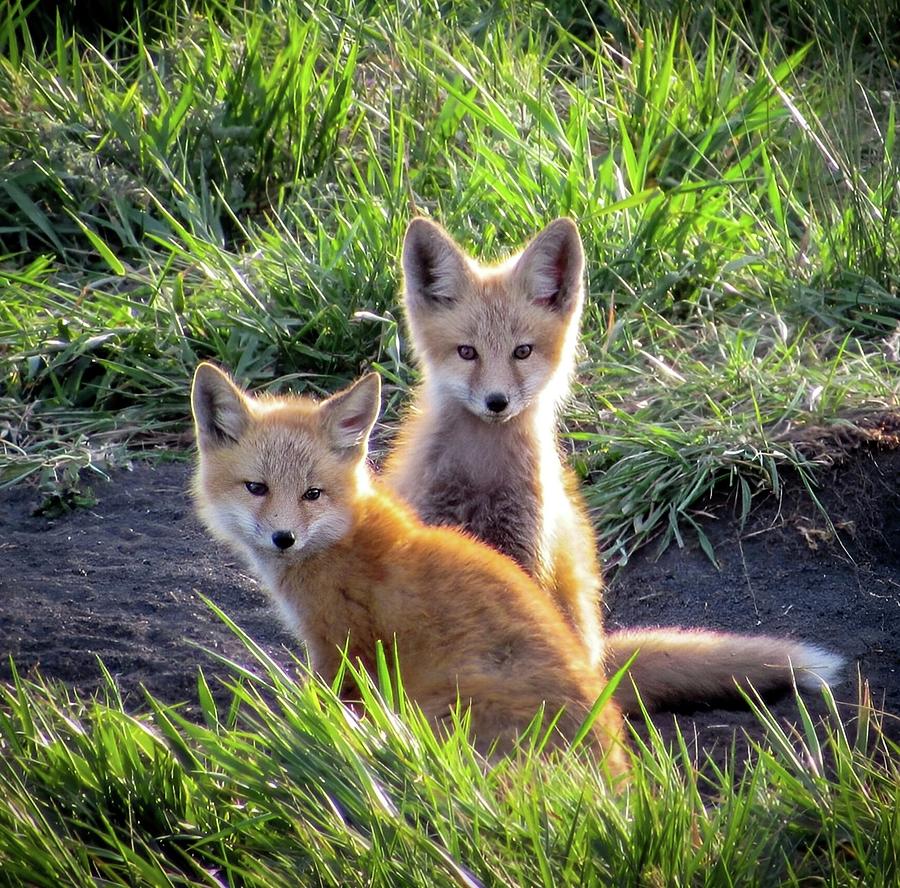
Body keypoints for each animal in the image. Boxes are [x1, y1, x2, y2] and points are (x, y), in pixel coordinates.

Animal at [190, 362, 629, 774]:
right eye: (256, 488)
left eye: (312, 494)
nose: (284, 538)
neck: (342, 539)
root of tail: (610, 779)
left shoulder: (343, 651)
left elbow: (325, 713)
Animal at [383, 217, 844, 712]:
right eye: (467, 352)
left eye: (522, 351)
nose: (497, 402)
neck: (482, 472)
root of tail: (601, 663)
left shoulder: (527, 550)